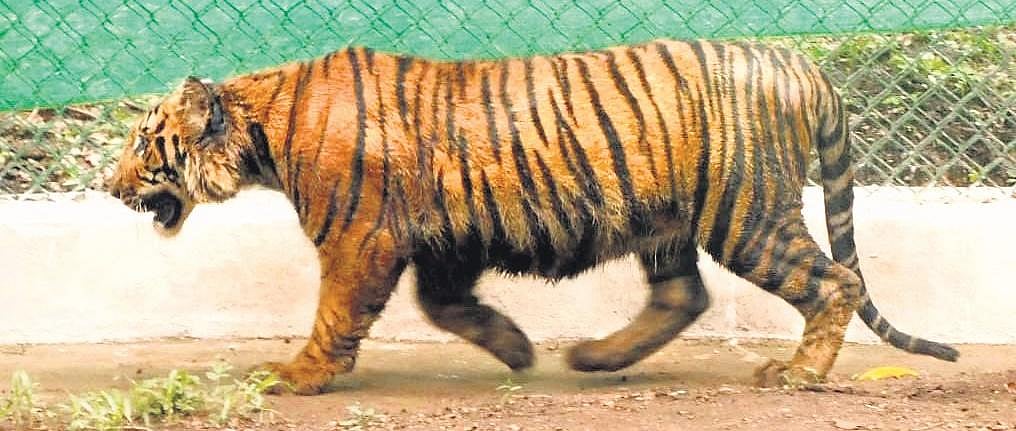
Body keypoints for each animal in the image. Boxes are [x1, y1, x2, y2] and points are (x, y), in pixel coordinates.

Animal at [107, 38, 958, 395]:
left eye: (143, 142)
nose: (109, 186)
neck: (262, 131)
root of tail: (800, 62)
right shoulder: (441, 238)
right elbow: (443, 303)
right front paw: (515, 348)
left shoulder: (359, 236)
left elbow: (336, 312)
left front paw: (298, 375)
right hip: (668, 219)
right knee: (684, 294)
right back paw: (594, 357)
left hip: (743, 212)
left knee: (835, 279)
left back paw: (799, 373)